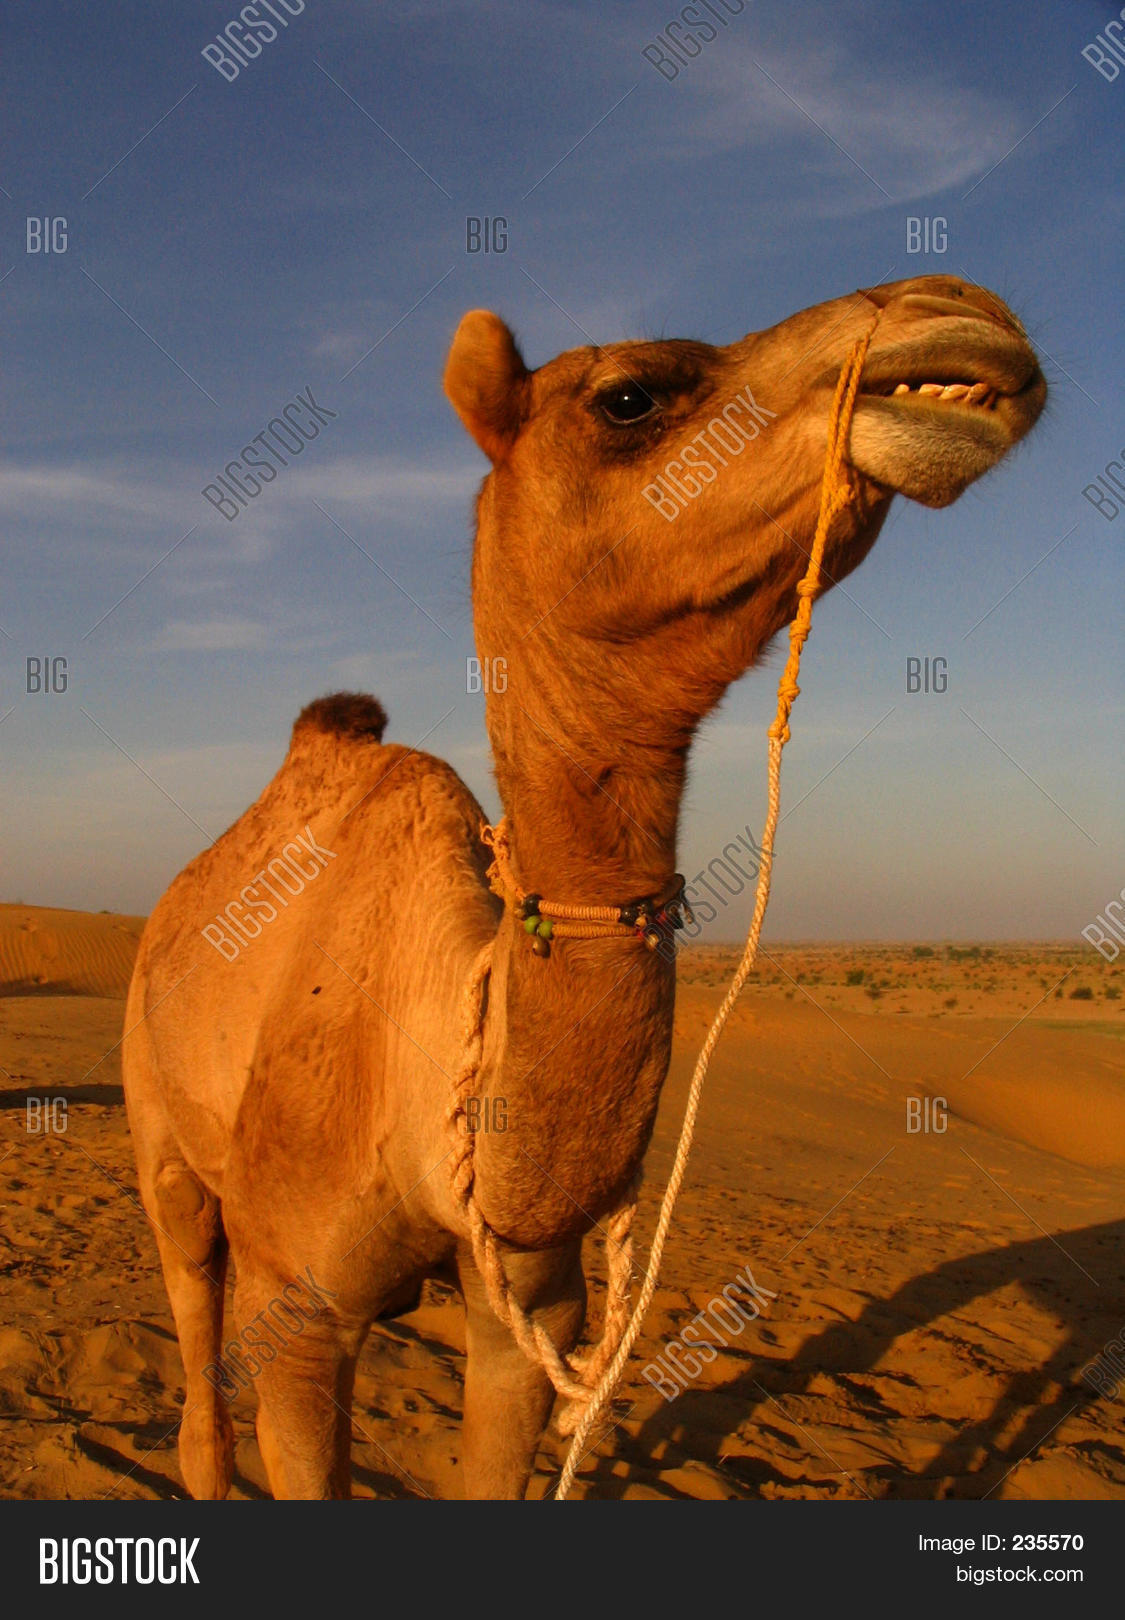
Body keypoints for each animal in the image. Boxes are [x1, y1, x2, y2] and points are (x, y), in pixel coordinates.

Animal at [122, 273, 1046, 1499]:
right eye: (627, 397)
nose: (959, 308)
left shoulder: (534, 1312)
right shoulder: (300, 1312)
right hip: (161, 1135)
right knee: (193, 1337)